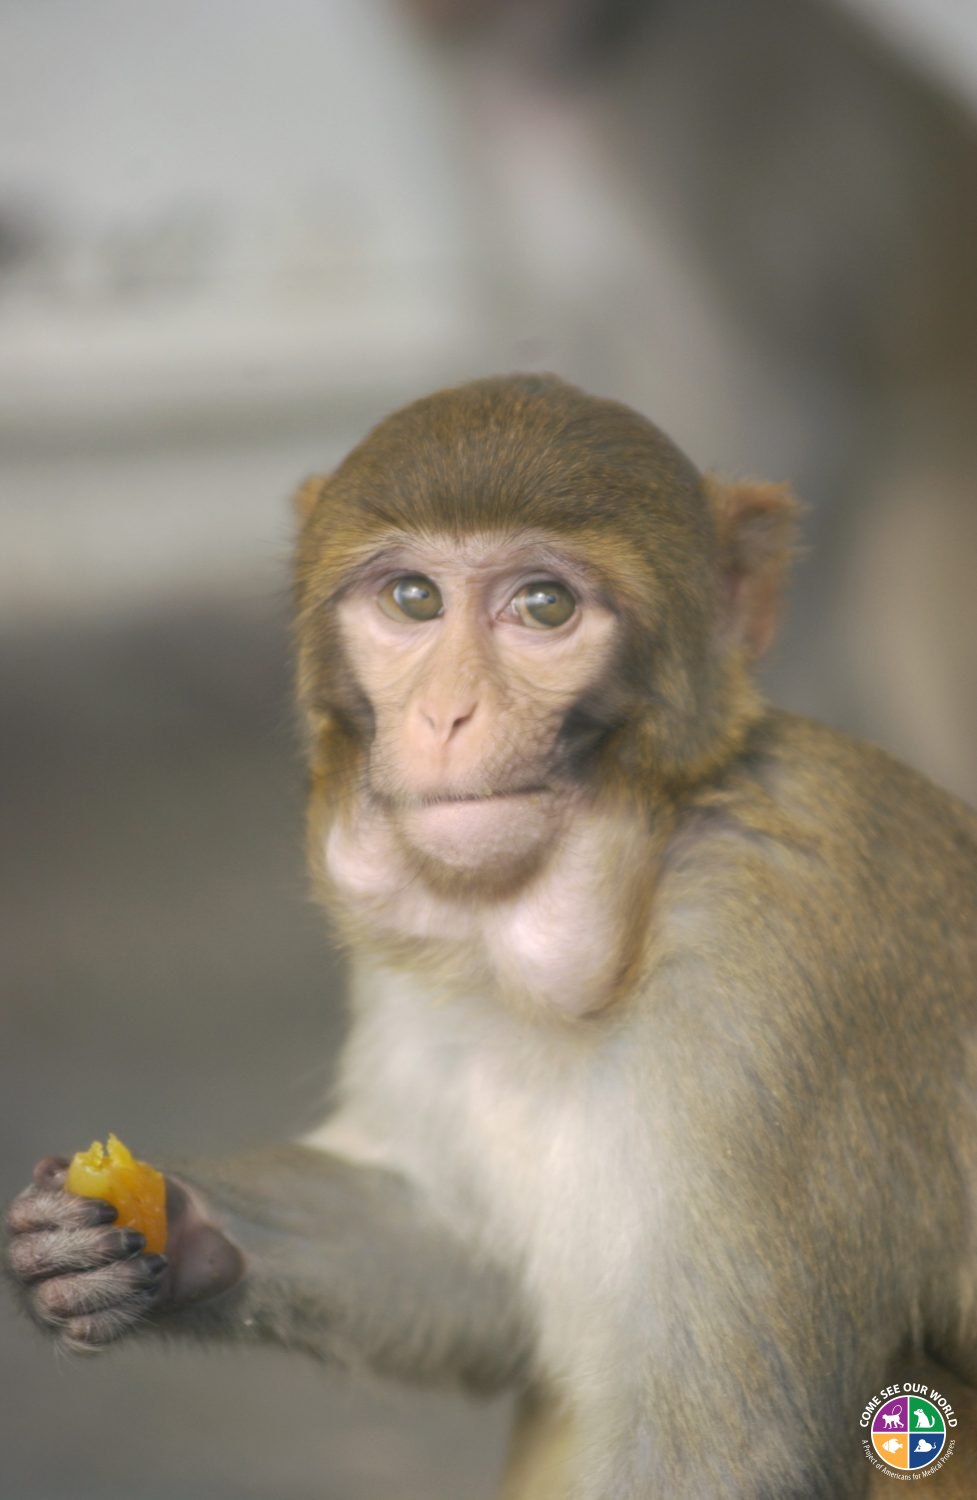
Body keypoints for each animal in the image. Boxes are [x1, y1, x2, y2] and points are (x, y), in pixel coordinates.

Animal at [5, 374, 977, 1499]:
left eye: (544, 606)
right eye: (412, 599)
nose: (446, 714)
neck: (631, 903)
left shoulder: (781, 972)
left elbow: (733, 1450)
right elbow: (469, 1276)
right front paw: (153, 1231)